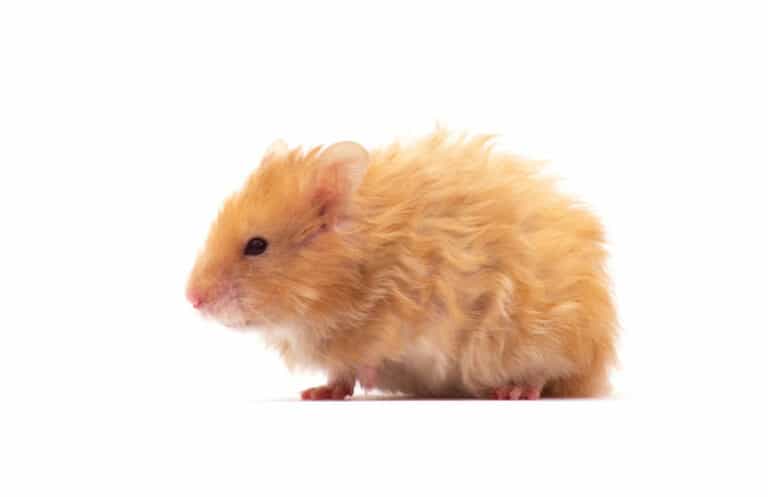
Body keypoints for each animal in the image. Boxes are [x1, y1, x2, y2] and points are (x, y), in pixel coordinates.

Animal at [186, 130, 617, 400]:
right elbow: (341, 374)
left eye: (256, 246)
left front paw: (370, 376)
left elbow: (380, 349)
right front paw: (317, 393)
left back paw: (513, 391)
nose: (191, 299)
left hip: (551, 334)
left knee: (548, 371)